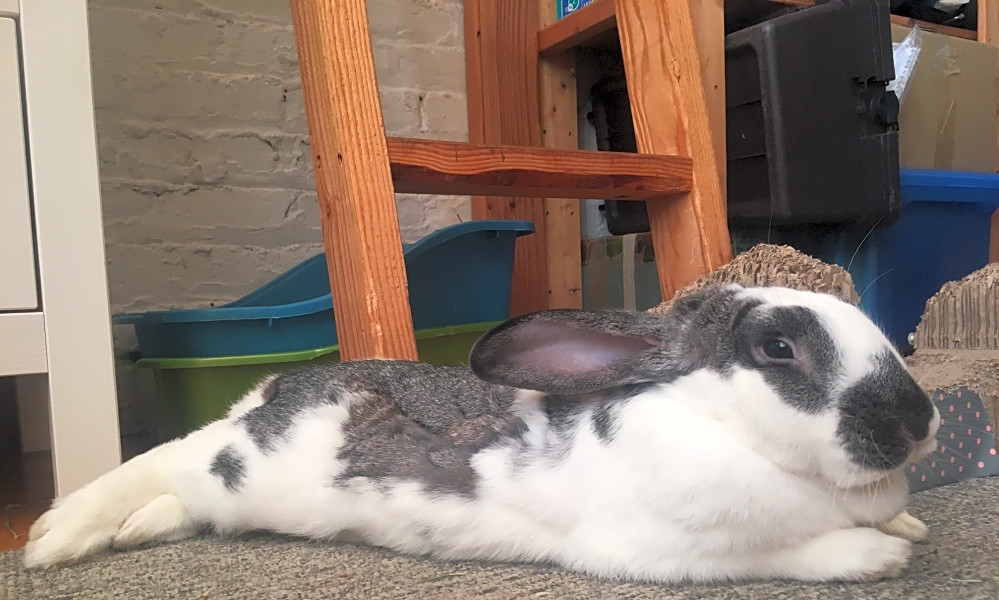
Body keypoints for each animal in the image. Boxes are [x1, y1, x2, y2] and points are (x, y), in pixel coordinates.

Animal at [22, 283, 941, 584]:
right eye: (777, 349)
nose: (921, 419)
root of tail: (280, 387)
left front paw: (908, 523)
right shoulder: (673, 551)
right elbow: (791, 556)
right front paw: (876, 555)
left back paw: (131, 530)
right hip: (244, 468)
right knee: (168, 457)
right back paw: (58, 537)